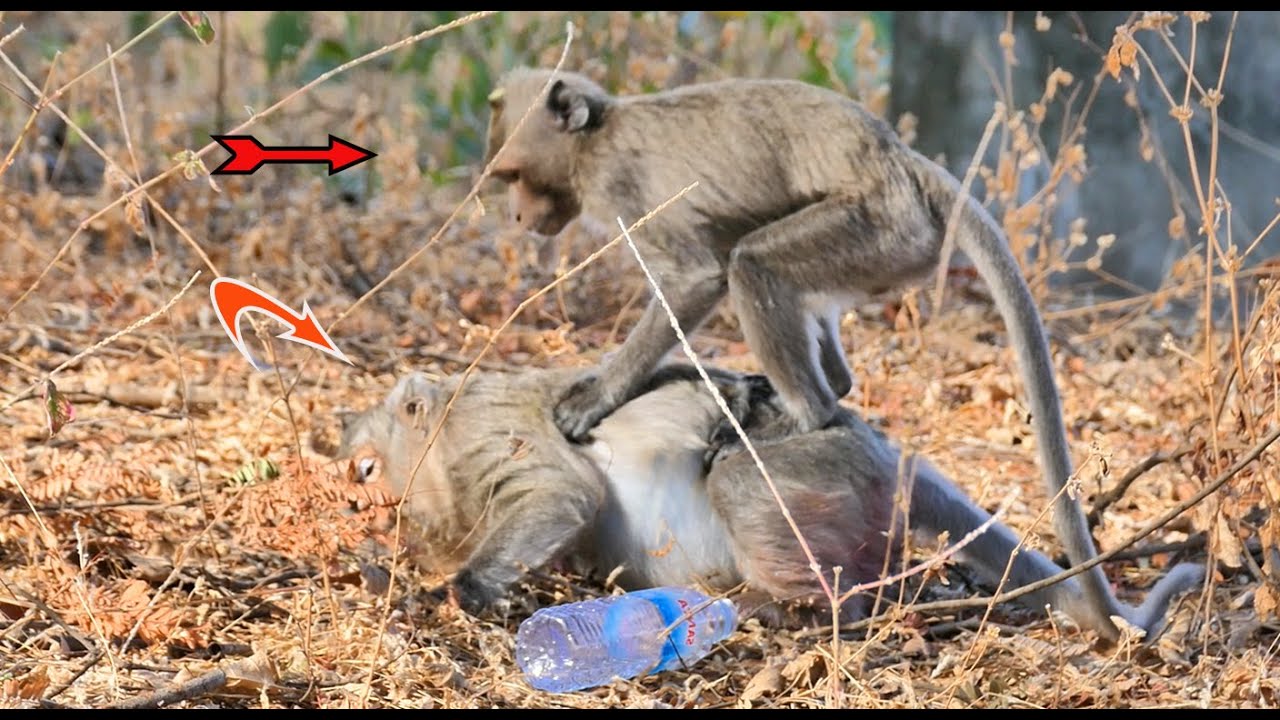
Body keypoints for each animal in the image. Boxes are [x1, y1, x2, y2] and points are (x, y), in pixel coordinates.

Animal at [338, 364, 1203, 642]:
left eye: (365, 469)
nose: (363, 507)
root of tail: (880, 446)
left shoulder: (487, 433)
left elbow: (565, 492)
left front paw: (462, 587)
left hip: (819, 469)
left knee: (738, 481)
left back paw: (796, 606)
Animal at [479, 66, 1171, 641]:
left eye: (513, 176)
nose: (514, 215)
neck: (598, 136)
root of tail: (903, 161)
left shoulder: (623, 187)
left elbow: (694, 279)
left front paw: (595, 397)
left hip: (882, 229)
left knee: (752, 266)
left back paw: (804, 413)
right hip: (885, 247)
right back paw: (823, 391)